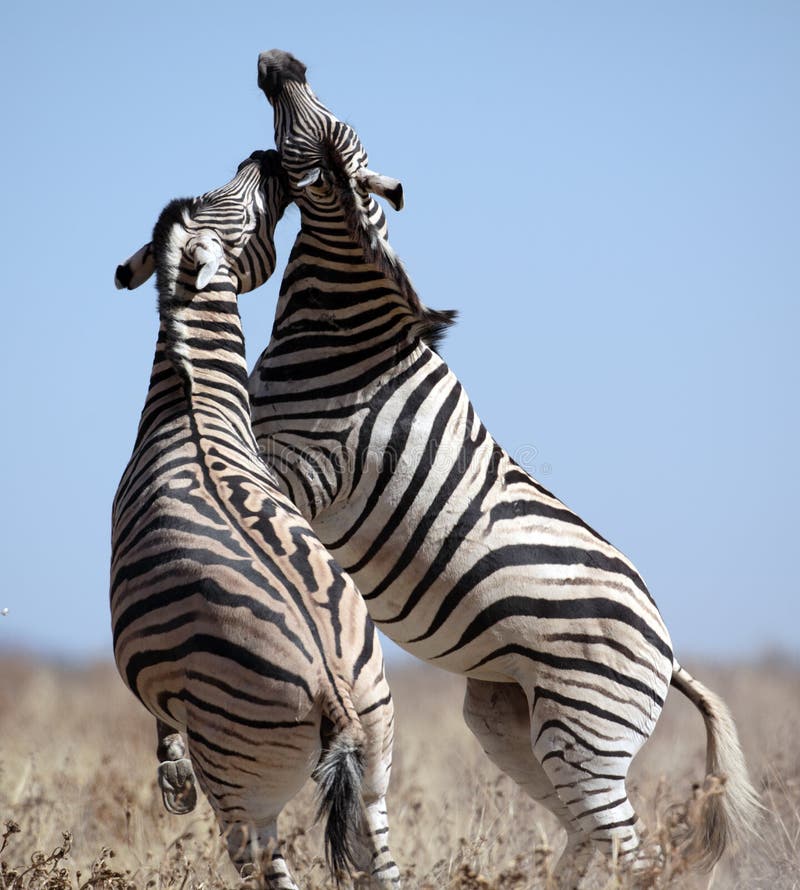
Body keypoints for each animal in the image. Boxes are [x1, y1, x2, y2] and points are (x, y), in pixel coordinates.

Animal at [111, 148, 399, 889]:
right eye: (240, 203)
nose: (266, 157)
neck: (193, 405)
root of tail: (334, 692)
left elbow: (160, 719)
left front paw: (172, 775)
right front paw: (171, 774)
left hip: (246, 792)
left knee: (268, 868)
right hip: (371, 766)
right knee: (373, 864)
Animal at [247, 50, 760, 886]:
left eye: (324, 129)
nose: (279, 60)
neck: (347, 340)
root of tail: (670, 650)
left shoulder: (315, 465)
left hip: (581, 733)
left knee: (632, 851)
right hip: (513, 720)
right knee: (589, 834)